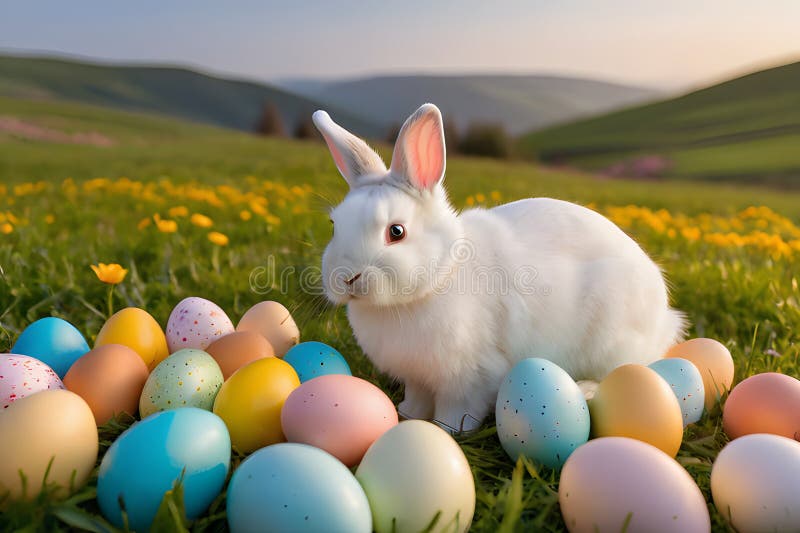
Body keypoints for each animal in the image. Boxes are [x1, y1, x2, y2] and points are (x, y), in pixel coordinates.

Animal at [312, 103, 686, 433]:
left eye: (396, 232)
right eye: (333, 226)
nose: (347, 278)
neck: (441, 276)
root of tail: (664, 318)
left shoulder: (470, 377)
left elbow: (457, 409)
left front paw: (448, 431)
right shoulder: (417, 377)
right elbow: (417, 399)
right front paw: (407, 415)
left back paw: (587, 388)